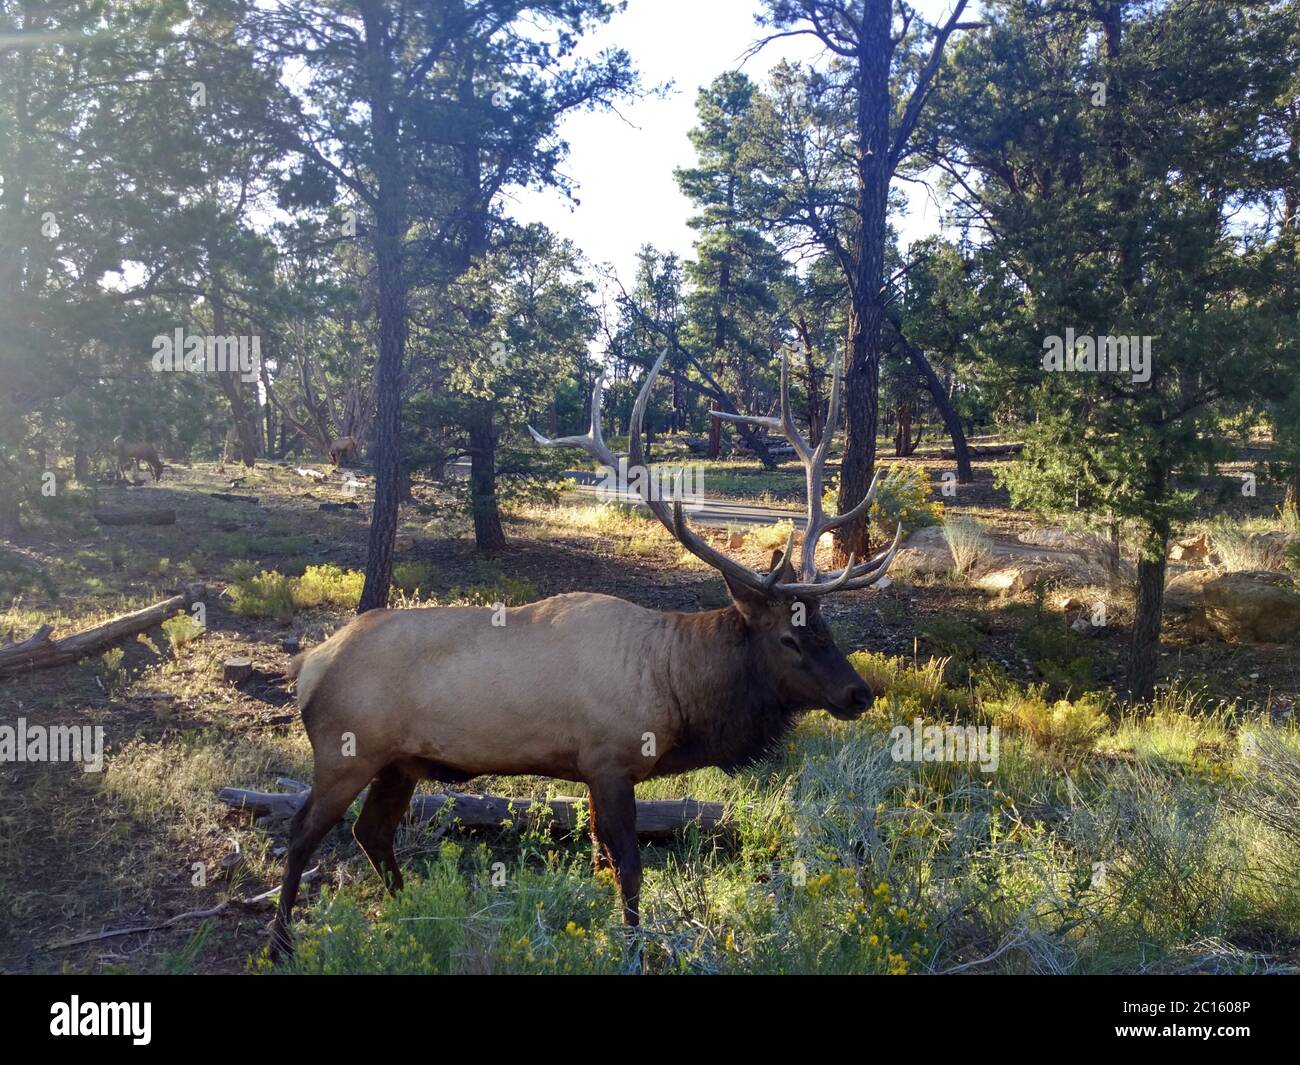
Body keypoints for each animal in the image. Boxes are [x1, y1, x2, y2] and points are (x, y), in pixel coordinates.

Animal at [269, 350, 902, 960]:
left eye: (826, 628)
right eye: (789, 639)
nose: (858, 693)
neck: (676, 690)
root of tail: (306, 665)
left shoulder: (593, 770)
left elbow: (602, 864)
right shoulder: (608, 760)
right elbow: (628, 870)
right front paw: (633, 950)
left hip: (399, 762)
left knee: (371, 833)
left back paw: (411, 916)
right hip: (346, 750)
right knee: (301, 832)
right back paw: (282, 943)